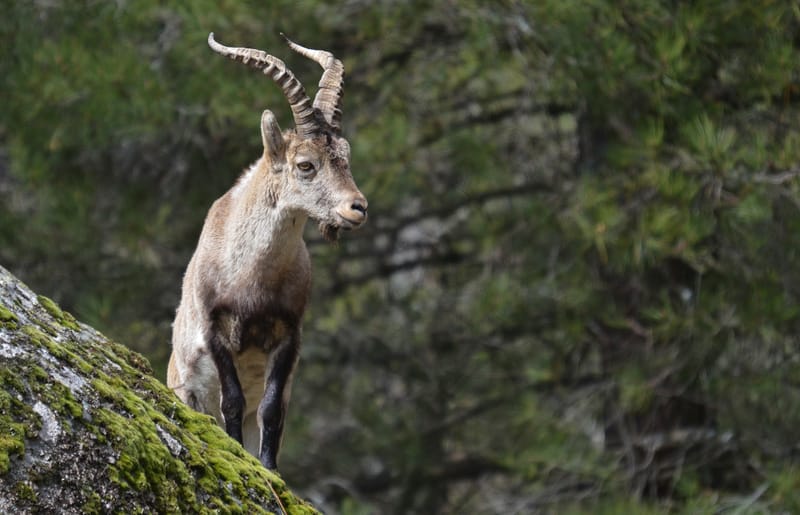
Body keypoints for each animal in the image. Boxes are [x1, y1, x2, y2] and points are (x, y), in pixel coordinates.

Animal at [167, 32, 367, 470]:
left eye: (345, 157)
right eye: (305, 164)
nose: (357, 208)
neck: (251, 281)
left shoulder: (288, 335)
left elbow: (271, 410)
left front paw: (270, 470)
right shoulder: (214, 330)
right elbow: (232, 401)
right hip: (185, 390)